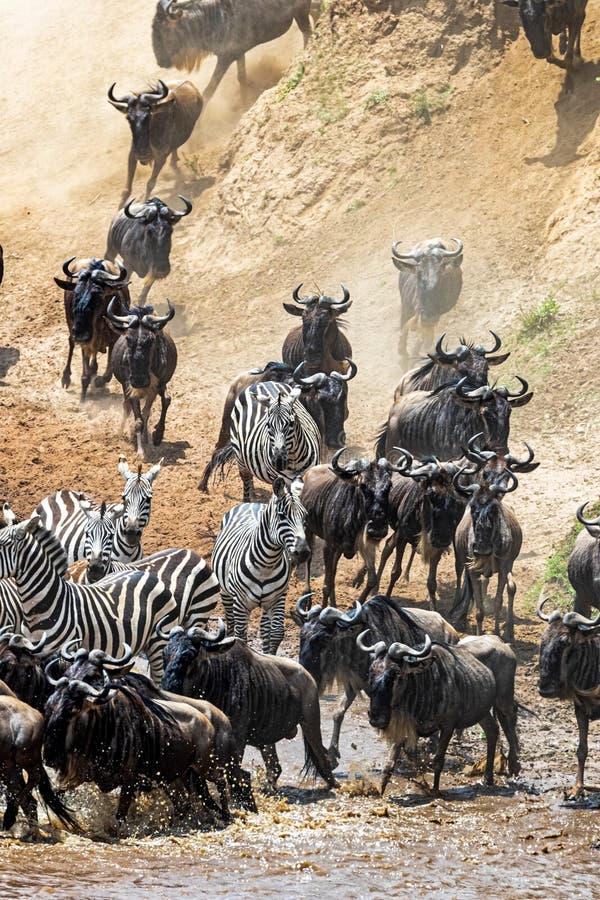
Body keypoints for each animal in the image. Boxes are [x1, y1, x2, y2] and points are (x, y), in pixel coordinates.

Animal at [211, 476, 309, 654]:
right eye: (282, 516)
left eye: (305, 517)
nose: (304, 552)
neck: (266, 565)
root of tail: (252, 503)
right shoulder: (240, 603)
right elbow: (240, 636)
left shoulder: (278, 598)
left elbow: (276, 633)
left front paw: (271, 656)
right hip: (226, 592)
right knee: (231, 624)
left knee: (265, 629)